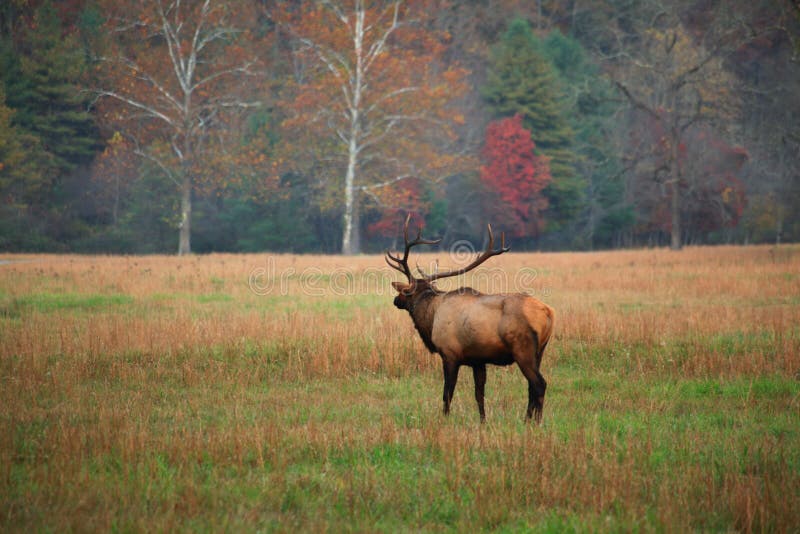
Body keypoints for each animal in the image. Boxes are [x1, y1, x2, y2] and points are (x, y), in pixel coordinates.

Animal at [386, 215, 555, 423]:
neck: (431, 318)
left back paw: (534, 422)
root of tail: (548, 313)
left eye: (404, 292)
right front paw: (483, 422)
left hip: (523, 348)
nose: (395, 300)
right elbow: (479, 394)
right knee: (532, 386)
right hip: (540, 350)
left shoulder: (449, 354)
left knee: (539, 383)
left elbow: (447, 393)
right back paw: (529, 420)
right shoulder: (478, 360)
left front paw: (445, 419)